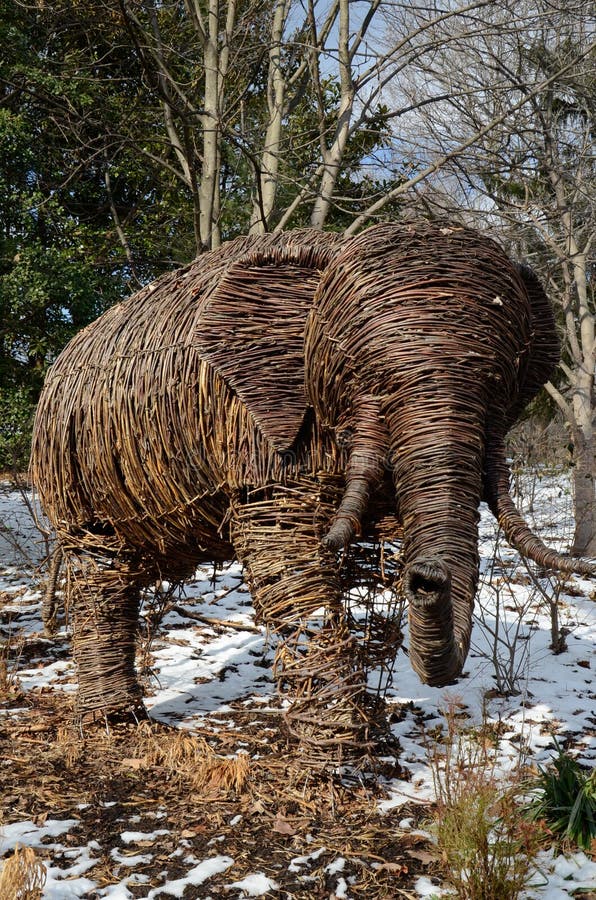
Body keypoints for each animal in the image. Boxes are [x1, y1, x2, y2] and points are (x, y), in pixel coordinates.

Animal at [30, 220, 593, 759]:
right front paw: (345, 756)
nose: (426, 579)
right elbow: (290, 573)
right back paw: (117, 723)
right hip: (74, 481)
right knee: (102, 580)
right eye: (367, 380)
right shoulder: (263, 444)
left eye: (504, 387)